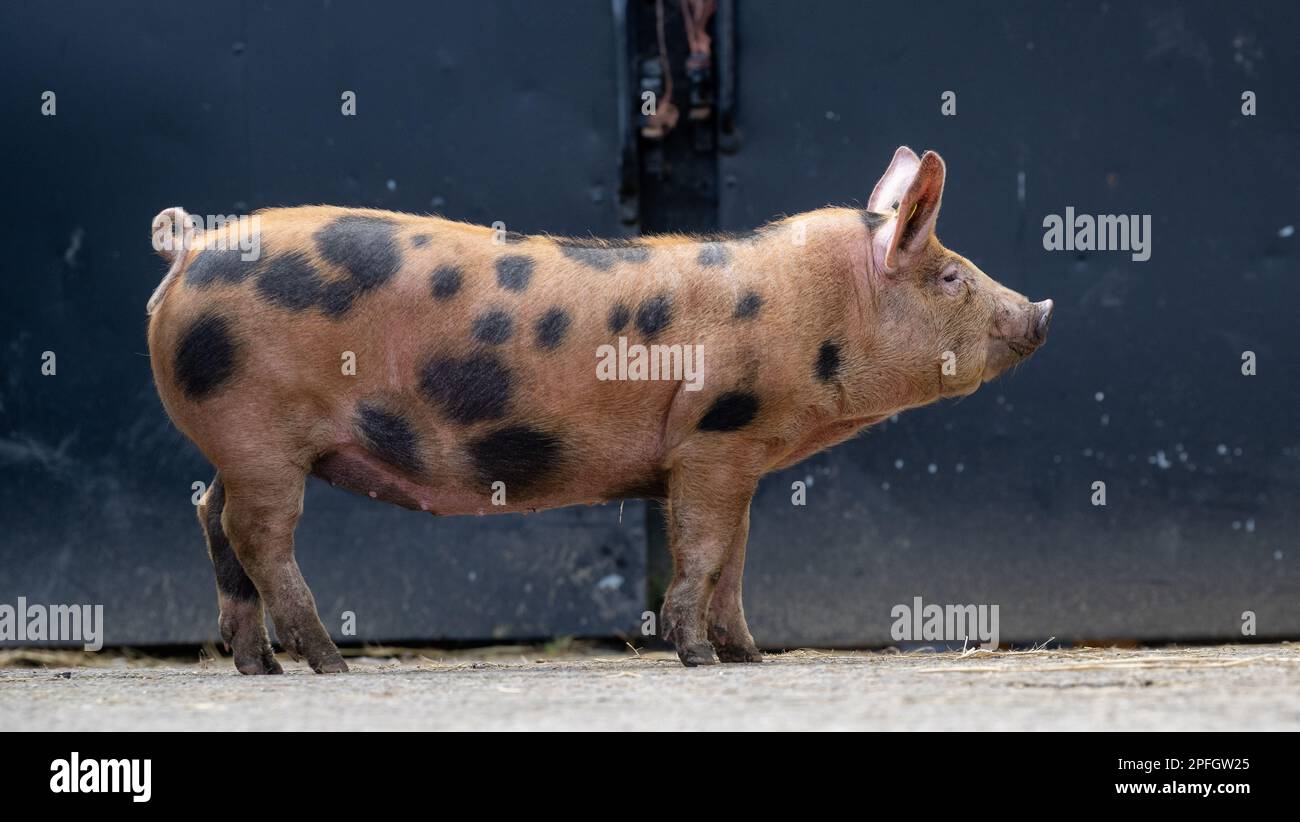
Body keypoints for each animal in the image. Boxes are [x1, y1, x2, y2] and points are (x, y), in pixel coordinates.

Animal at [145, 147, 1052, 672]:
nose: (1041, 310)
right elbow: (705, 552)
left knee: (209, 513)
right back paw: (331, 664)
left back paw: (259, 666)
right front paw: (698, 659)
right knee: (258, 534)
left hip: (240, 446)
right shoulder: (717, 437)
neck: (818, 307)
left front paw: (751, 658)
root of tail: (188, 247)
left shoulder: (739, 455)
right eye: (952, 277)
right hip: (259, 431)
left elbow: (736, 558)